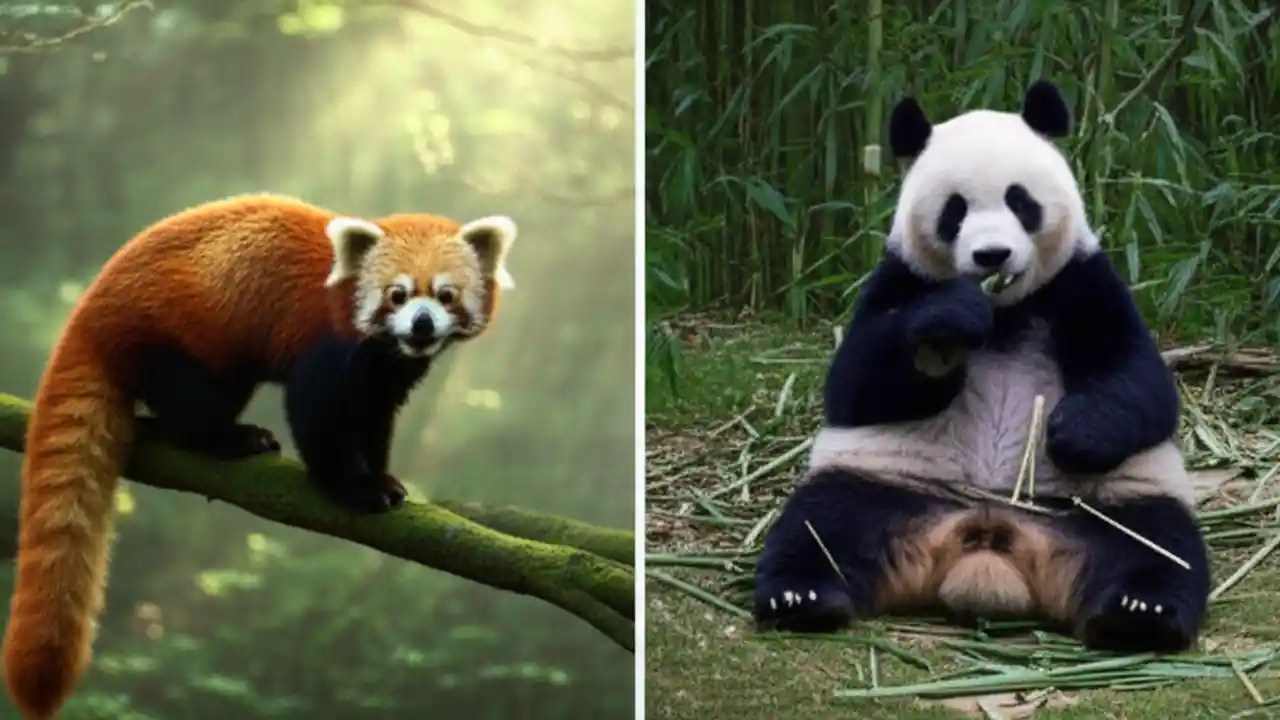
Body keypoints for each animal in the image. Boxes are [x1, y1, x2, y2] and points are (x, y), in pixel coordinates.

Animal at [753, 80, 1211, 652]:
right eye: (955, 210)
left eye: (1021, 201)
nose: (992, 255)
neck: (1005, 310)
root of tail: (986, 534)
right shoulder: (900, 277)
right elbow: (853, 384)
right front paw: (946, 328)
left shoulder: (1083, 281)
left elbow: (1143, 382)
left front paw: (1075, 432)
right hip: (884, 484)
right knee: (818, 527)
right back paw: (800, 598)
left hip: (1104, 501)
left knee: (1156, 545)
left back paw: (1139, 614)